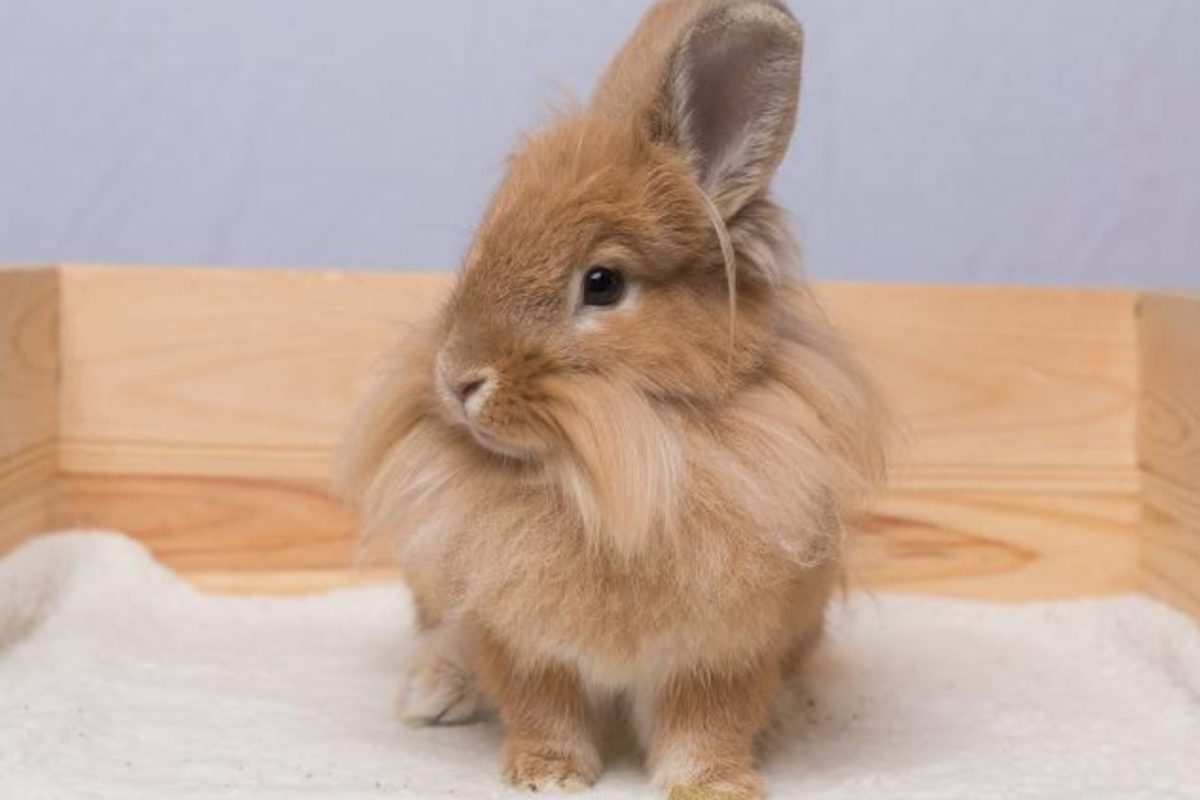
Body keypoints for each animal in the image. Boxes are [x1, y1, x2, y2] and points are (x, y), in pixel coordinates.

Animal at [337, 0, 887, 797]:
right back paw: (433, 695)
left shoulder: (726, 649)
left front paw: (713, 784)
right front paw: (549, 777)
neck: (611, 466)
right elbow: (541, 707)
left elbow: (707, 723)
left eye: (602, 283)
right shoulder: (521, 639)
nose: (458, 377)